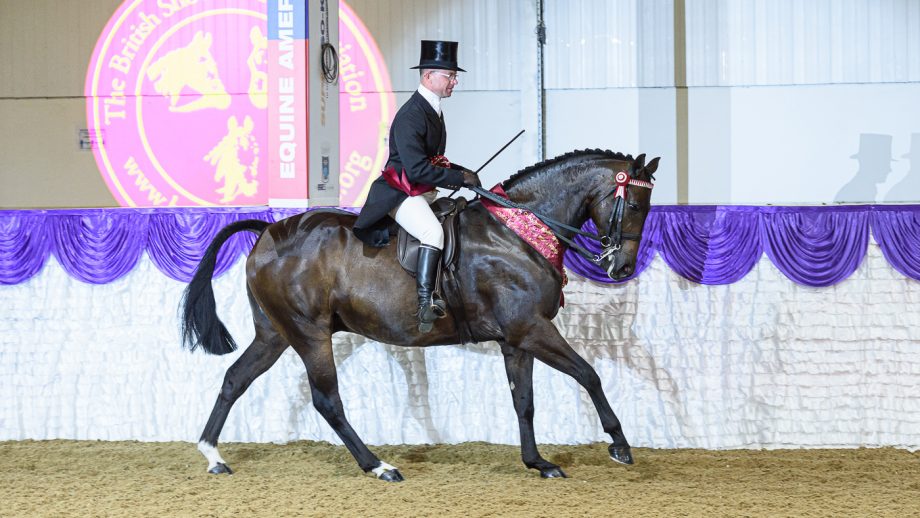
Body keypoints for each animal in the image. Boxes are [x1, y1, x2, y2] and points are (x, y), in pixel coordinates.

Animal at [181, 149, 660, 481]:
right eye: (635, 206)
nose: (621, 268)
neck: (517, 233)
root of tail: (268, 230)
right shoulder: (532, 329)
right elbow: (588, 374)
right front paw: (619, 445)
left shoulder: (515, 340)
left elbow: (524, 401)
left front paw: (538, 462)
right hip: (309, 334)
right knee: (327, 400)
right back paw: (379, 466)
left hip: (275, 334)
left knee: (235, 379)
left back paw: (212, 455)